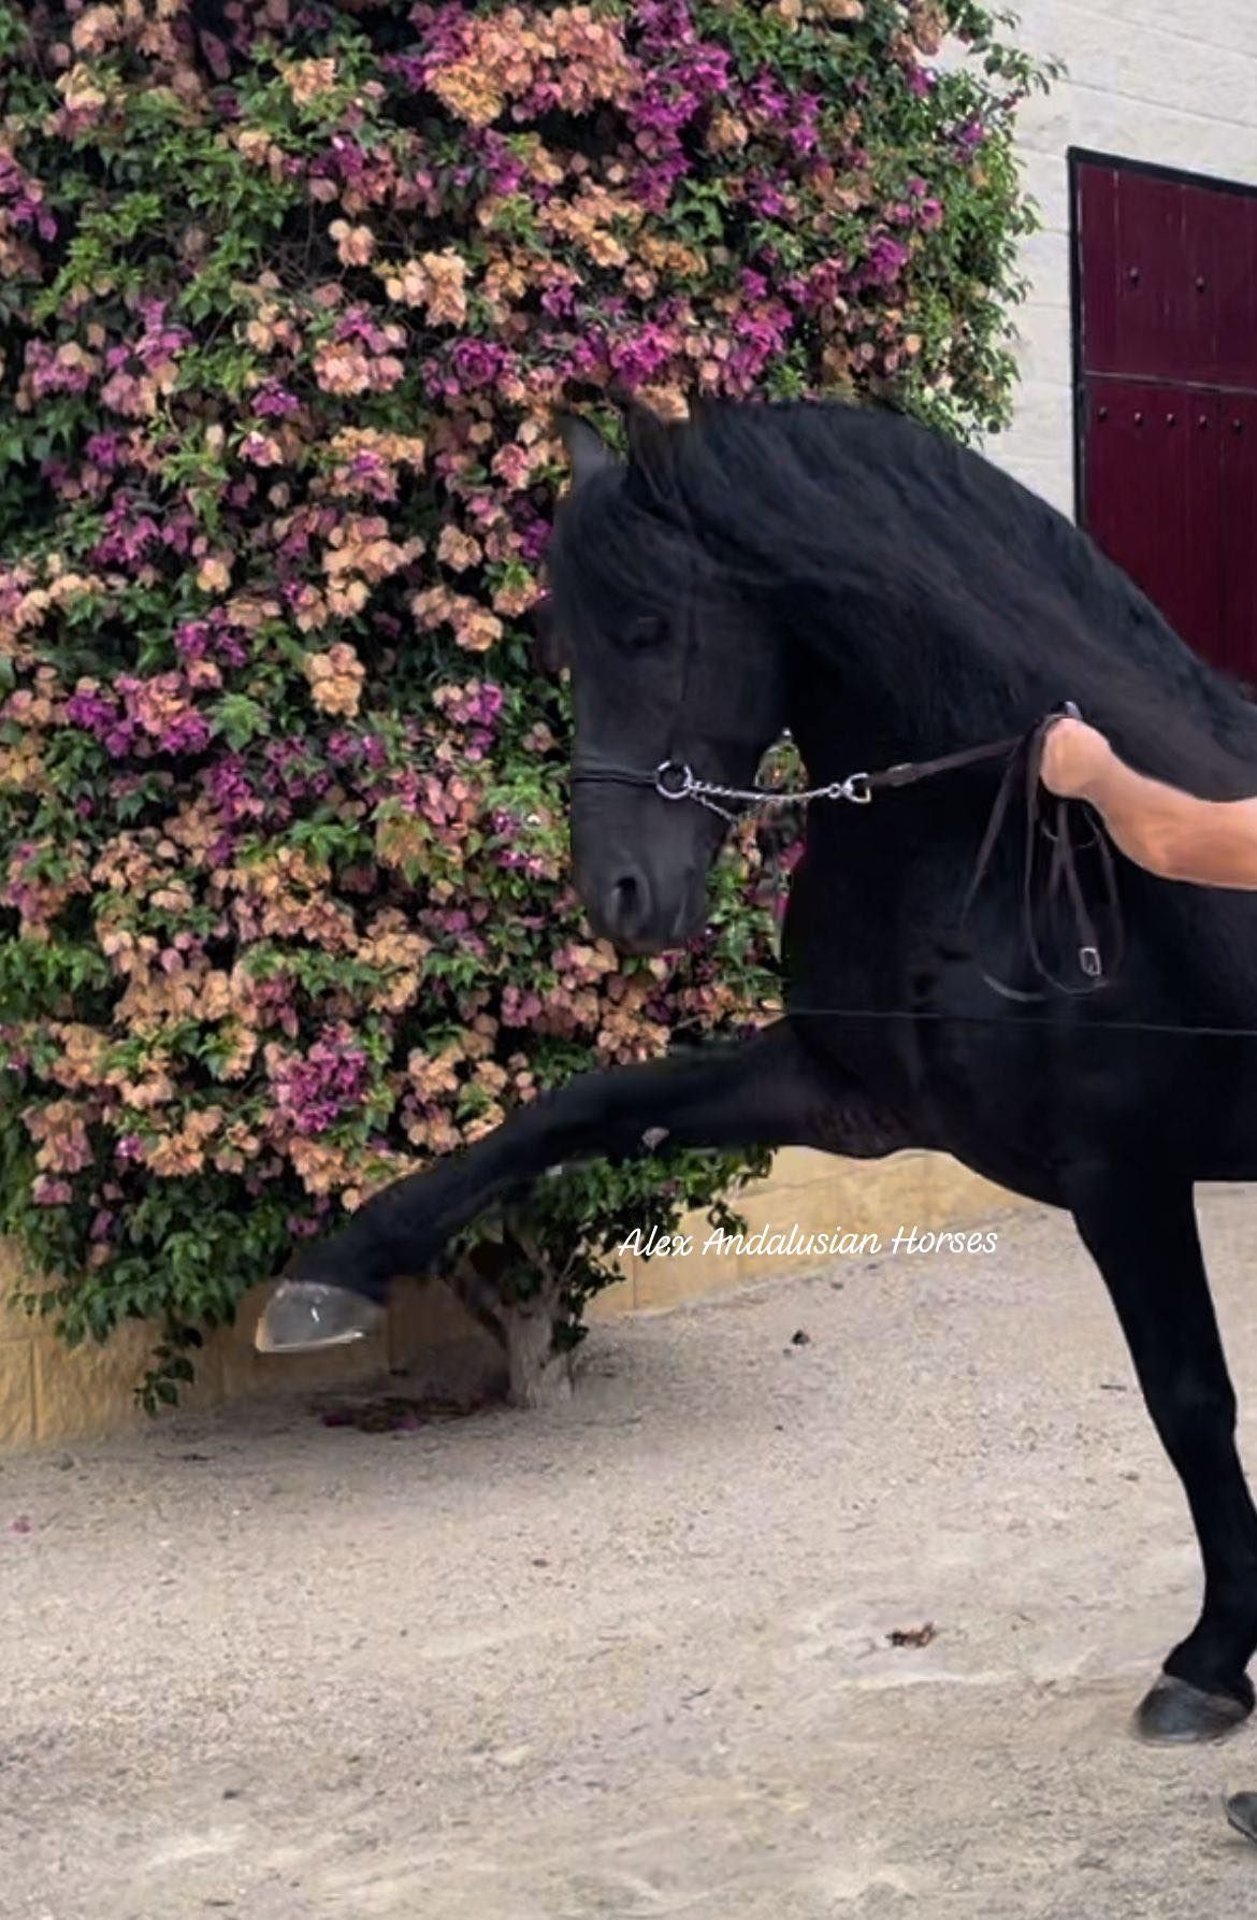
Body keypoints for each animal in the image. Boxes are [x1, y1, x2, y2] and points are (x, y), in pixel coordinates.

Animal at [258, 395, 1257, 1746]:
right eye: (564, 647)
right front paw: (339, 1272)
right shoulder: (851, 1095)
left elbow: (1189, 1401)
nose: (622, 895)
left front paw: (1210, 1660)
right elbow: (586, 1106)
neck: (1032, 850)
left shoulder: (1125, 1175)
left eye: (649, 627)